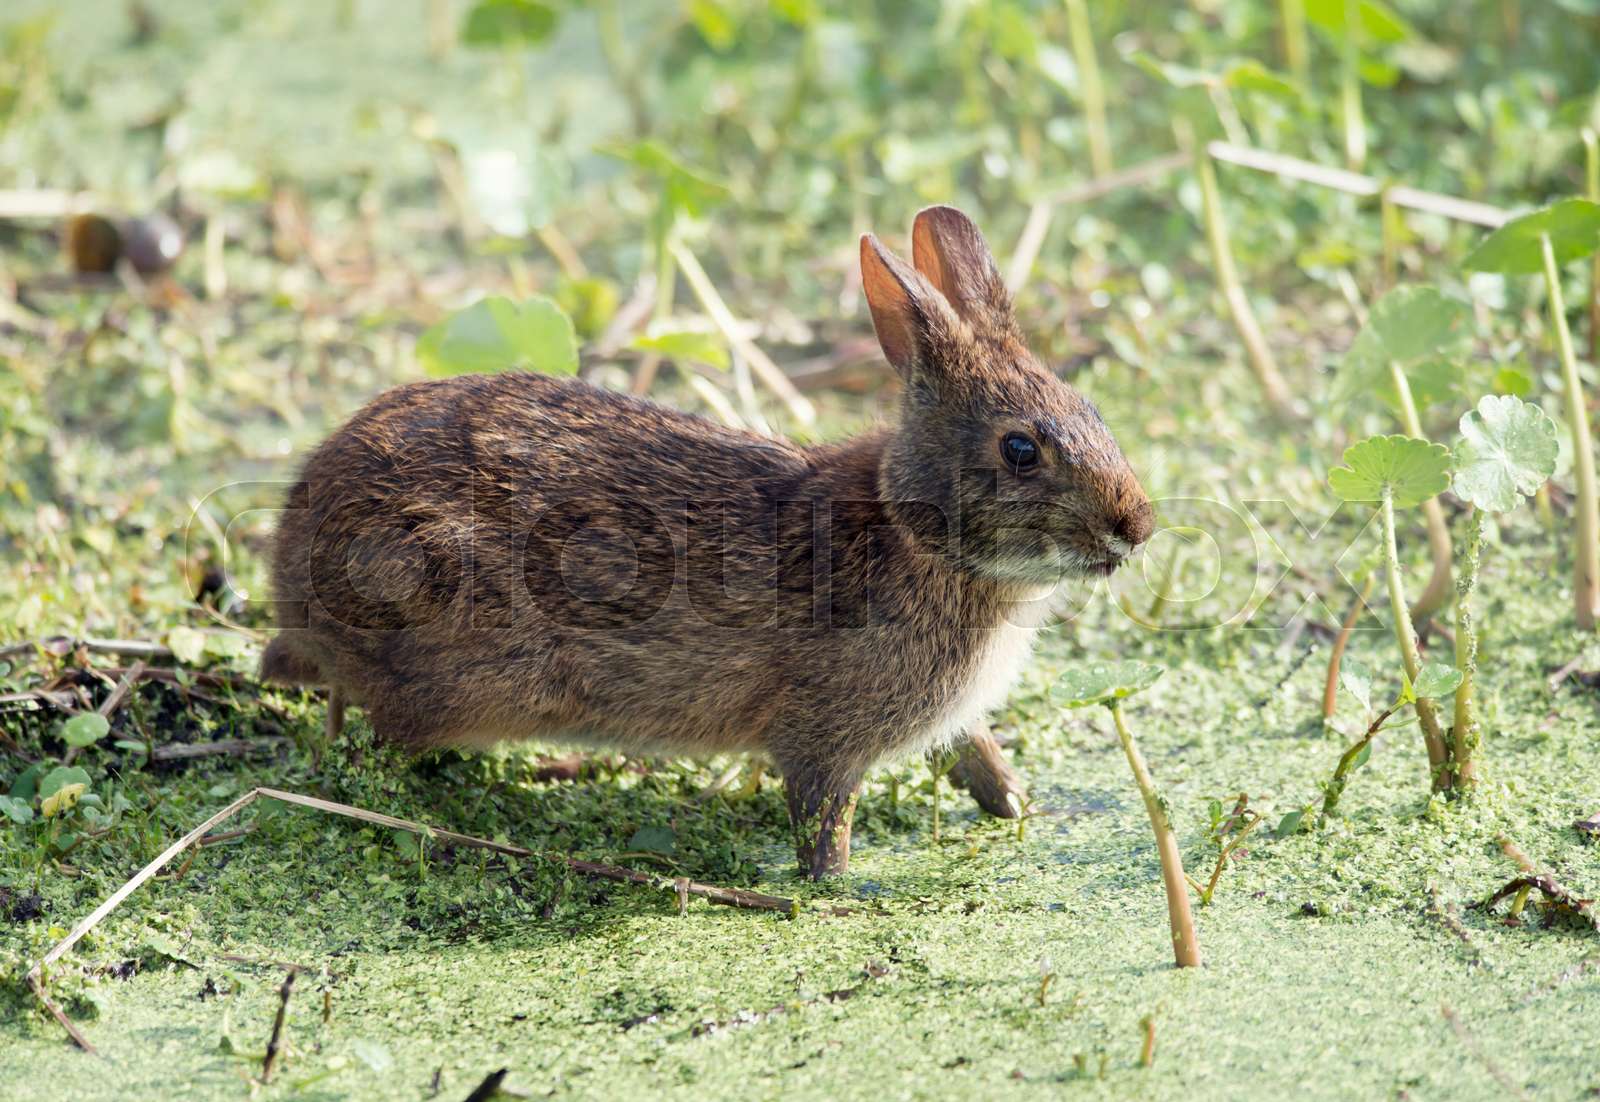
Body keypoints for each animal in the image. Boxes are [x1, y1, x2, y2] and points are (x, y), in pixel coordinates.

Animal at [260, 205, 1154, 877]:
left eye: (1092, 408)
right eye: (1020, 449)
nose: (1137, 526)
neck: (916, 533)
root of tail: (288, 560)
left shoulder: (952, 718)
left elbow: (980, 756)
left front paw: (1024, 805)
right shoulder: (825, 741)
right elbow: (821, 822)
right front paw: (839, 891)